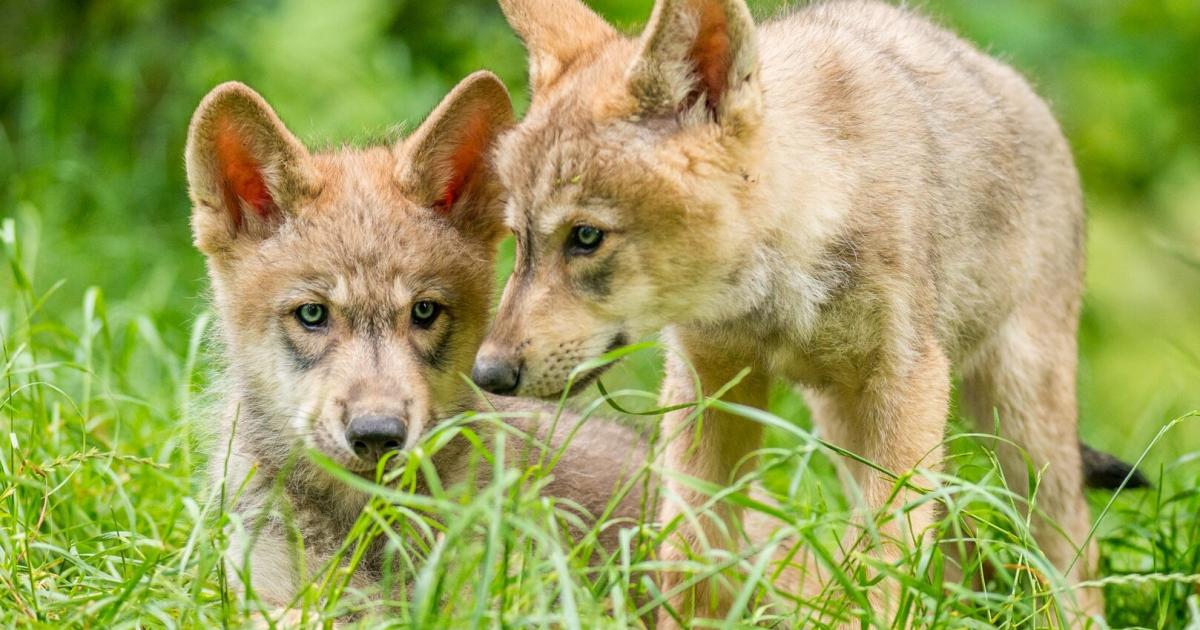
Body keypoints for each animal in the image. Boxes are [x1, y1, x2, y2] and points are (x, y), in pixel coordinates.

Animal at [472, 0, 1145, 623]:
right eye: (520, 241)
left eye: (585, 237)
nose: (487, 374)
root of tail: (1015, 82)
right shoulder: (709, 385)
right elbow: (691, 553)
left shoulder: (911, 383)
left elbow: (883, 561)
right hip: (847, 430)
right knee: (960, 553)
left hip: (1020, 428)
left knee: (1067, 555)